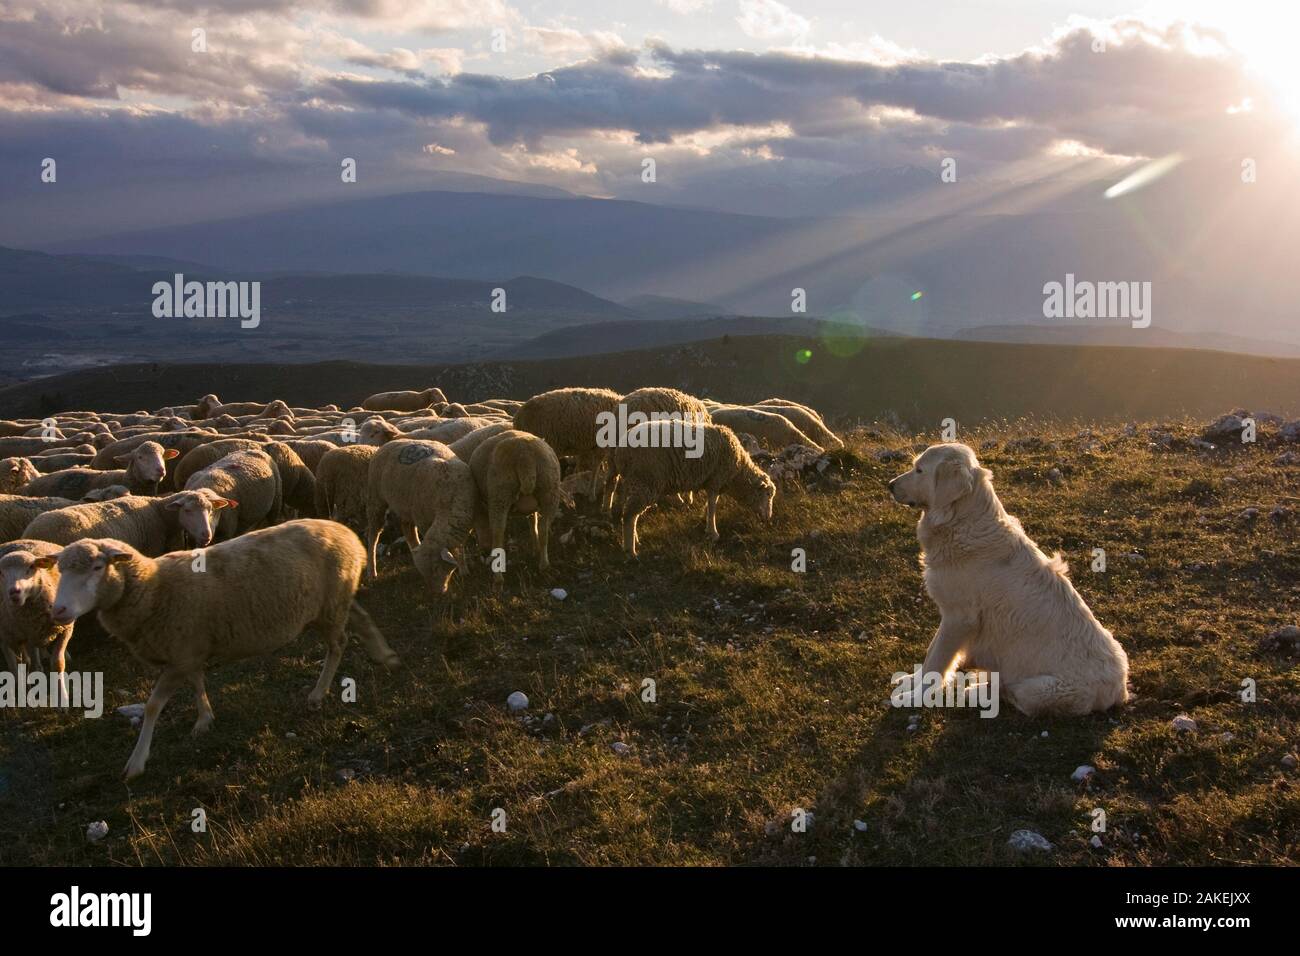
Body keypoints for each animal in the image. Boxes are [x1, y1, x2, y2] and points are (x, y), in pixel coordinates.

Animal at [0, 539, 74, 687]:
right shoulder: (23, 635)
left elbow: (58, 664)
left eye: (30, 567)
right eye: (1, 573)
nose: (14, 592)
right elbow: (27, 663)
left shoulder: (65, 629)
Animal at [41, 519, 400, 778]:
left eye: (97, 567)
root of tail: (349, 536)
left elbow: (153, 706)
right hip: (334, 602)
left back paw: (318, 693)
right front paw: (204, 720)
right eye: (60, 570)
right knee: (361, 618)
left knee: (338, 645)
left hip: (330, 606)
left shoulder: (179, 656)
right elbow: (197, 682)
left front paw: (136, 762)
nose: (58, 611)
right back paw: (384, 655)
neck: (153, 589)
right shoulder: (189, 652)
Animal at [364, 439, 476, 594]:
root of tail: (386, 444)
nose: (438, 593)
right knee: (373, 535)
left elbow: (458, 548)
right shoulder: (423, 520)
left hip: (405, 506)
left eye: (436, 568)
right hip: (376, 498)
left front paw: (464, 570)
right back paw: (371, 571)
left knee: (408, 530)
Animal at [468, 430, 565, 578]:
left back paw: (498, 577)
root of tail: (525, 456)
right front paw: (535, 548)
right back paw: (544, 565)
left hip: (500, 494)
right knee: (544, 528)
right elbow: (532, 520)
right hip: (550, 488)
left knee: (498, 532)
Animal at [612, 421, 775, 557]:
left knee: (627, 513)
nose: (768, 519)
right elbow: (713, 506)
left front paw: (706, 522)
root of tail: (621, 450)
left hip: (632, 482)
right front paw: (713, 533)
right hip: (647, 480)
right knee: (630, 515)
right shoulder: (715, 480)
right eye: (767, 494)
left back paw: (635, 540)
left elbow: (709, 505)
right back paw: (630, 550)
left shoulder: (711, 481)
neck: (737, 474)